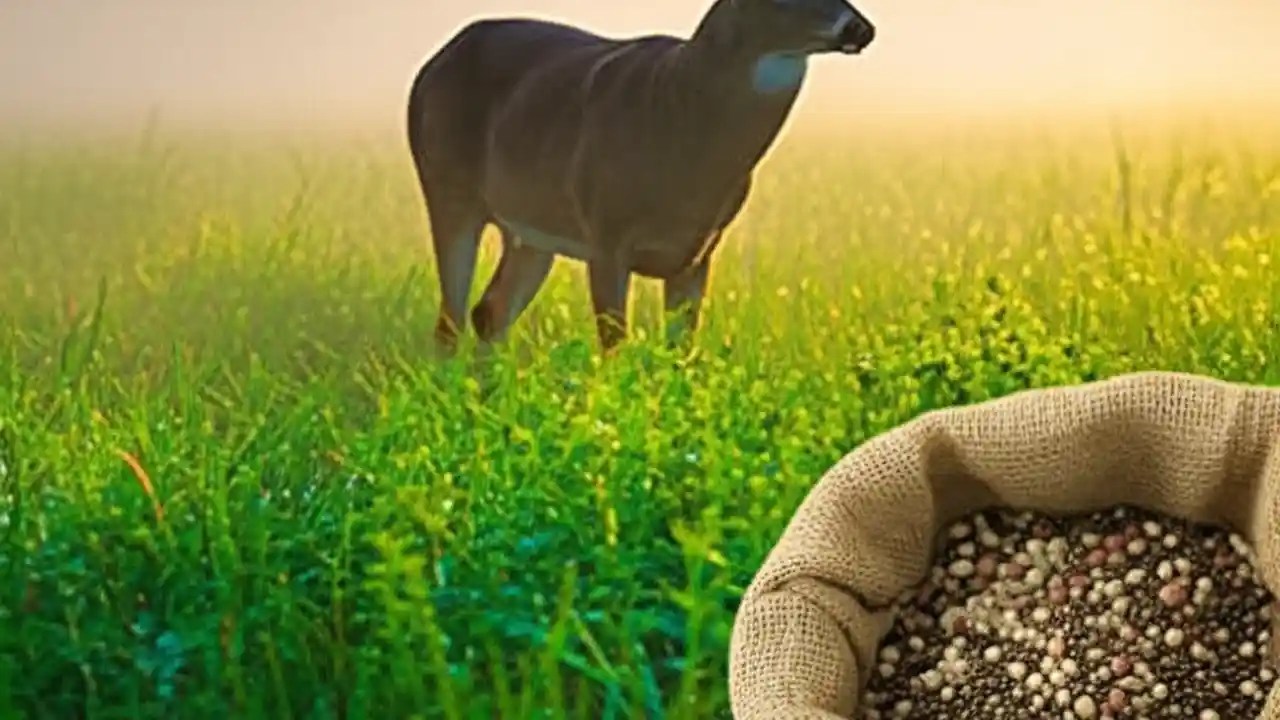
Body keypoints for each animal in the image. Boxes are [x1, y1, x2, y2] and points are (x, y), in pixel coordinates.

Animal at [406, 0, 876, 354]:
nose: (860, 27)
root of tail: (433, 63)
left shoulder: (701, 250)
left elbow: (681, 349)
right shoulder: (606, 233)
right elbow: (615, 343)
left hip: (530, 230)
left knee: (489, 313)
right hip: (447, 187)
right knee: (450, 321)